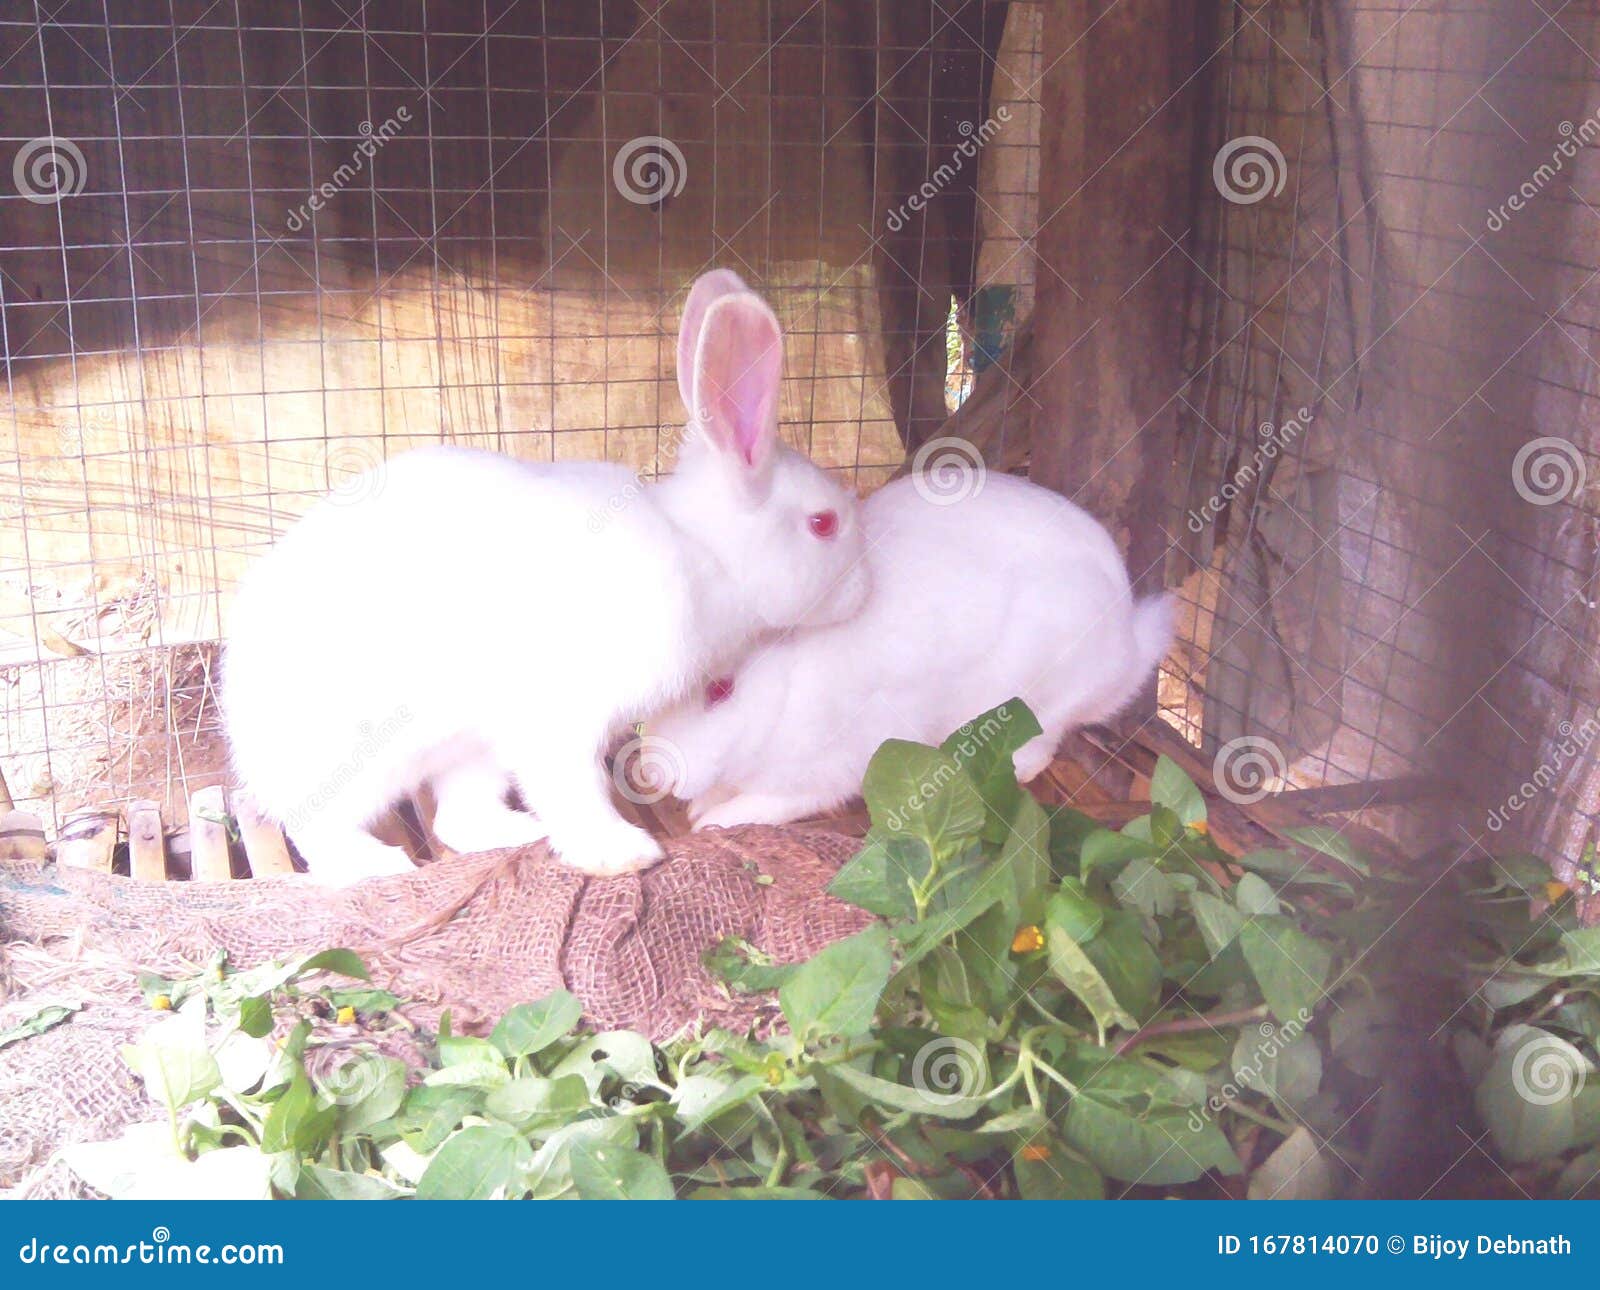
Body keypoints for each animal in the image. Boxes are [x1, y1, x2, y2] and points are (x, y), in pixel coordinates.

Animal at [222, 269, 871, 885]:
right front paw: (621, 854)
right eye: (824, 523)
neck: (701, 550)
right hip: (357, 760)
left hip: (469, 749)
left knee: (458, 817)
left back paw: (513, 832)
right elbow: (575, 789)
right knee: (316, 826)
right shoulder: (560, 717)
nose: (868, 585)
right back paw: (375, 864)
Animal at [647, 471, 1174, 830]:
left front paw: (715, 819)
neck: (790, 686)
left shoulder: (835, 763)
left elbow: (782, 802)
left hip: (1040, 693)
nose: (660, 775)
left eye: (720, 690)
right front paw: (703, 803)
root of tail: (1128, 641)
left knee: (1043, 743)